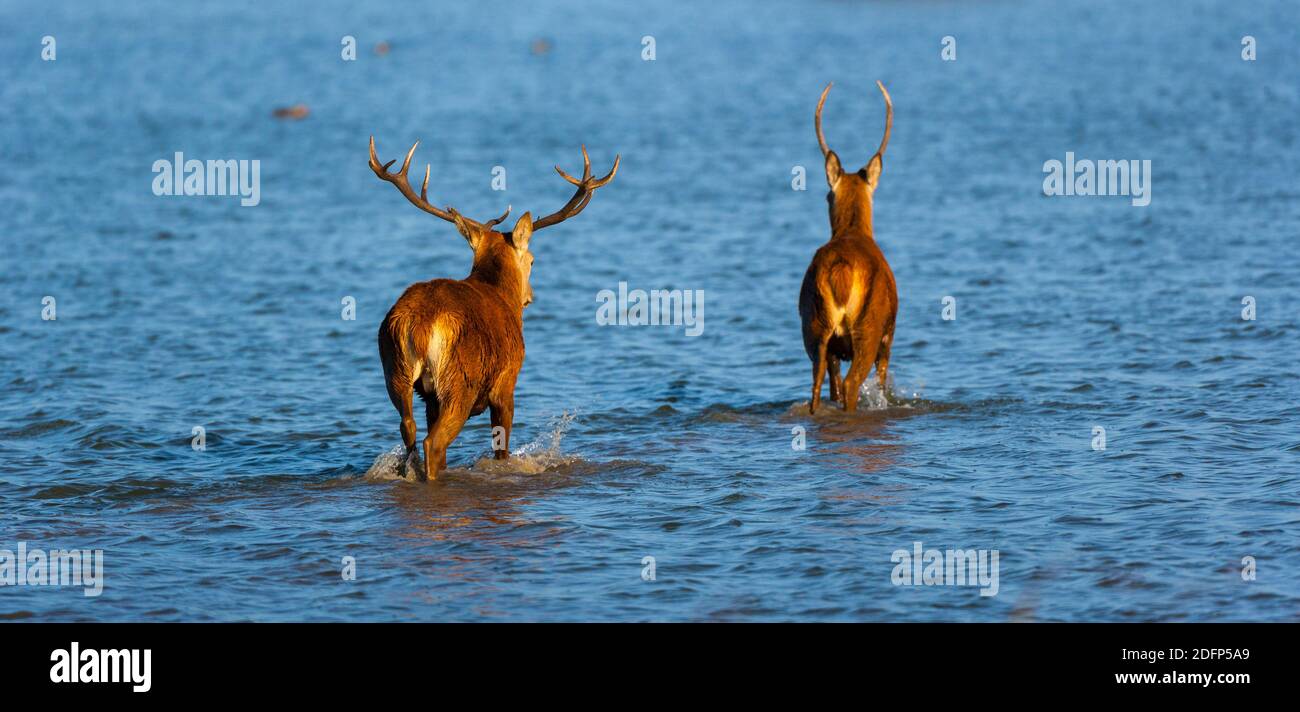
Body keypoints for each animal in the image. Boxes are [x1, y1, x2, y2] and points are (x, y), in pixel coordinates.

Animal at [369, 137, 618, 481]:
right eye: (533, 261)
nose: (530, 295)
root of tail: (419, 324)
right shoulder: (507, 381)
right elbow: (502, 450)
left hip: (396, 372)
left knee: (409, 429)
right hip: (459, 382)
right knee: (434, 443)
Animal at [798, 81, 898, 414]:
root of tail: (841, 269)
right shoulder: (889, 336)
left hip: (815, 331)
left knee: (819, 386)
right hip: (867, 329)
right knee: (853, 383)